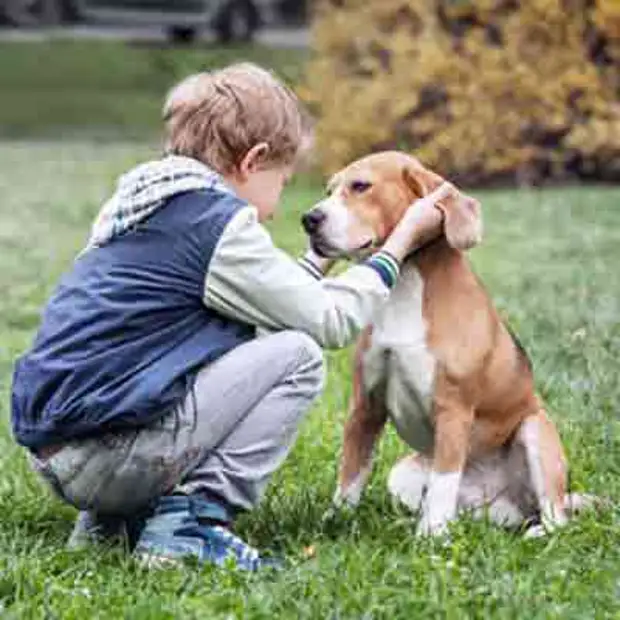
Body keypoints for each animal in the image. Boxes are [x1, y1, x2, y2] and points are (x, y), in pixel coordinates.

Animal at [306, 151, 596, 536]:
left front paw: (431, 538)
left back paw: (534, 531)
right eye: (329, 190)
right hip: (403, 473)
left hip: (535, 431)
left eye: (360, 186)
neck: (404, 287)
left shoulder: (452, 409)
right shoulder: (365, 407)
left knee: (555, 517)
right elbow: (351, 475)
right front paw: (334, 522)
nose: (309, 219)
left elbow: (443, 481)